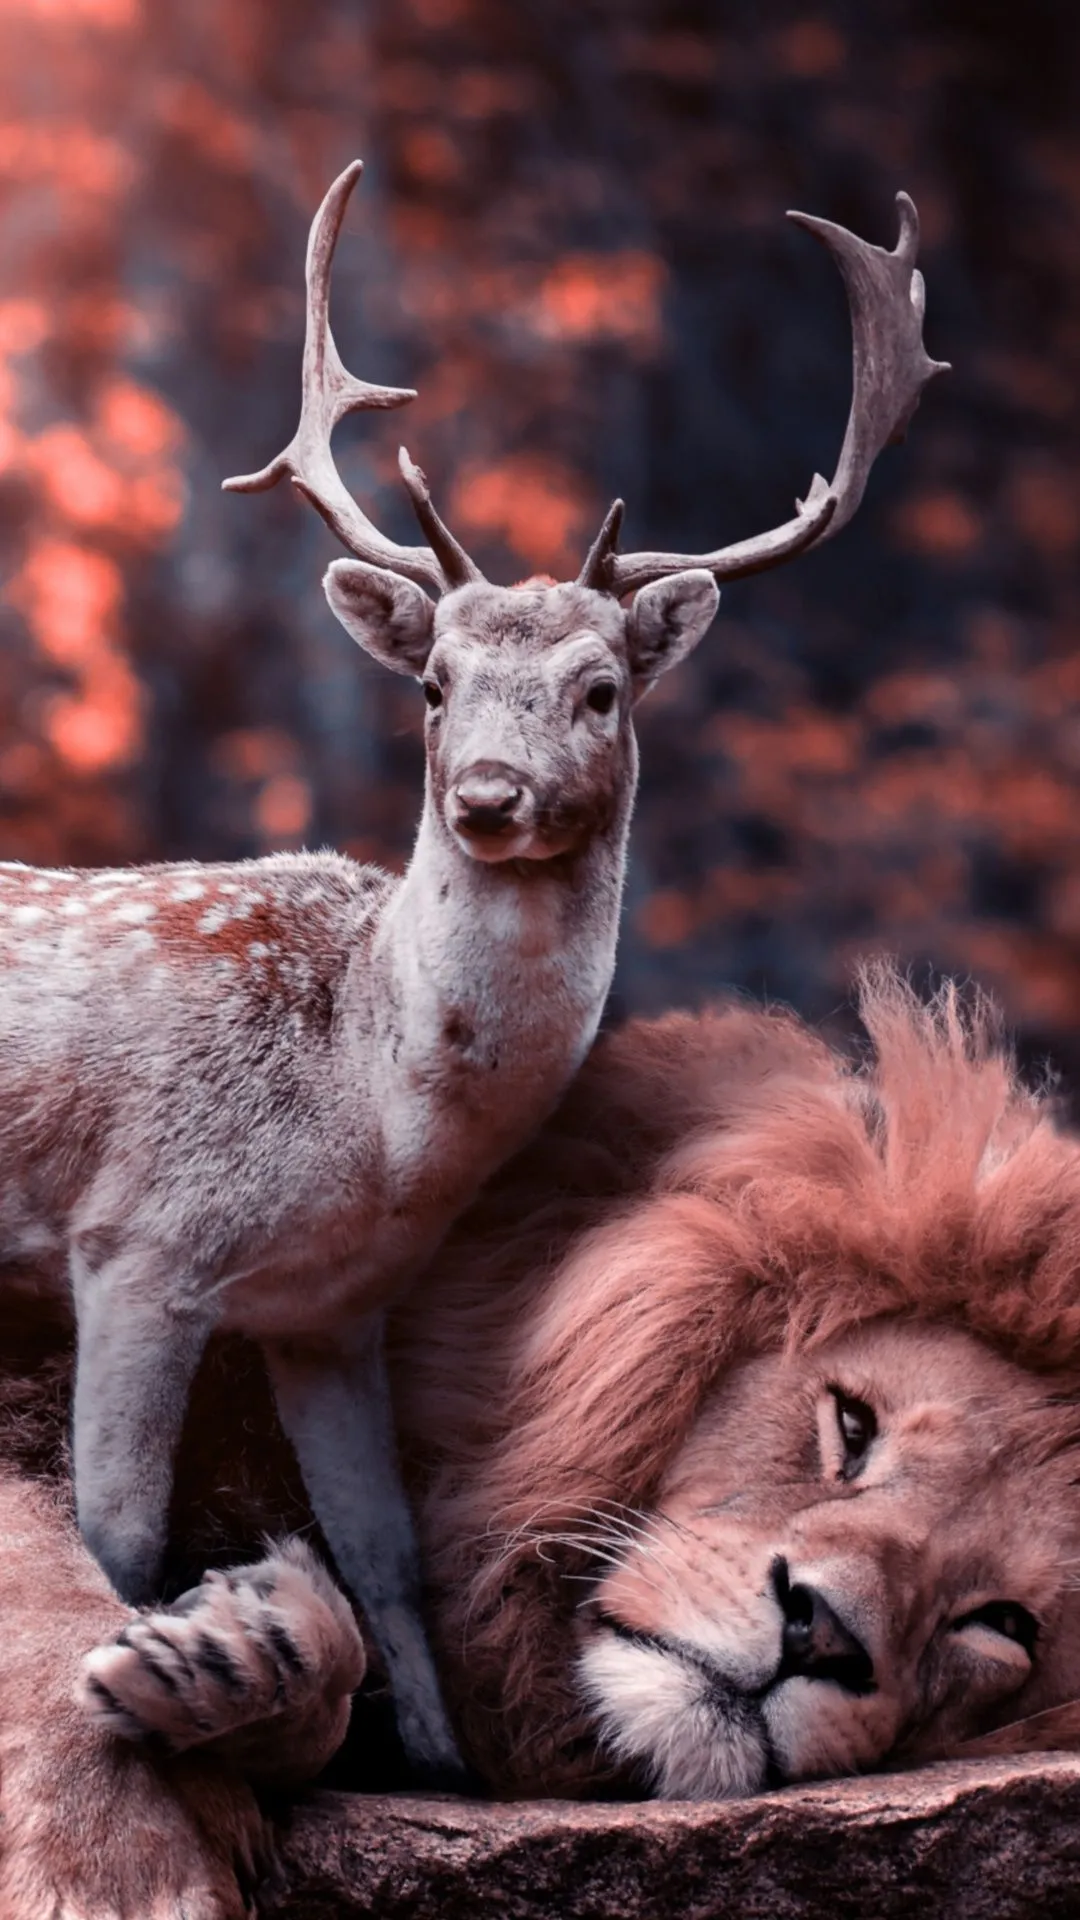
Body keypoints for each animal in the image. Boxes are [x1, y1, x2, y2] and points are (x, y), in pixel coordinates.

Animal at [0, 159, 946, 1785]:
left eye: (602, 687)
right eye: (434, 684)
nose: (490, 796)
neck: (371, 1116)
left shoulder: (331, 1307)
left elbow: (386, 1555)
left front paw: (441, 1763)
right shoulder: (138, 1236)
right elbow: (118, 1538)